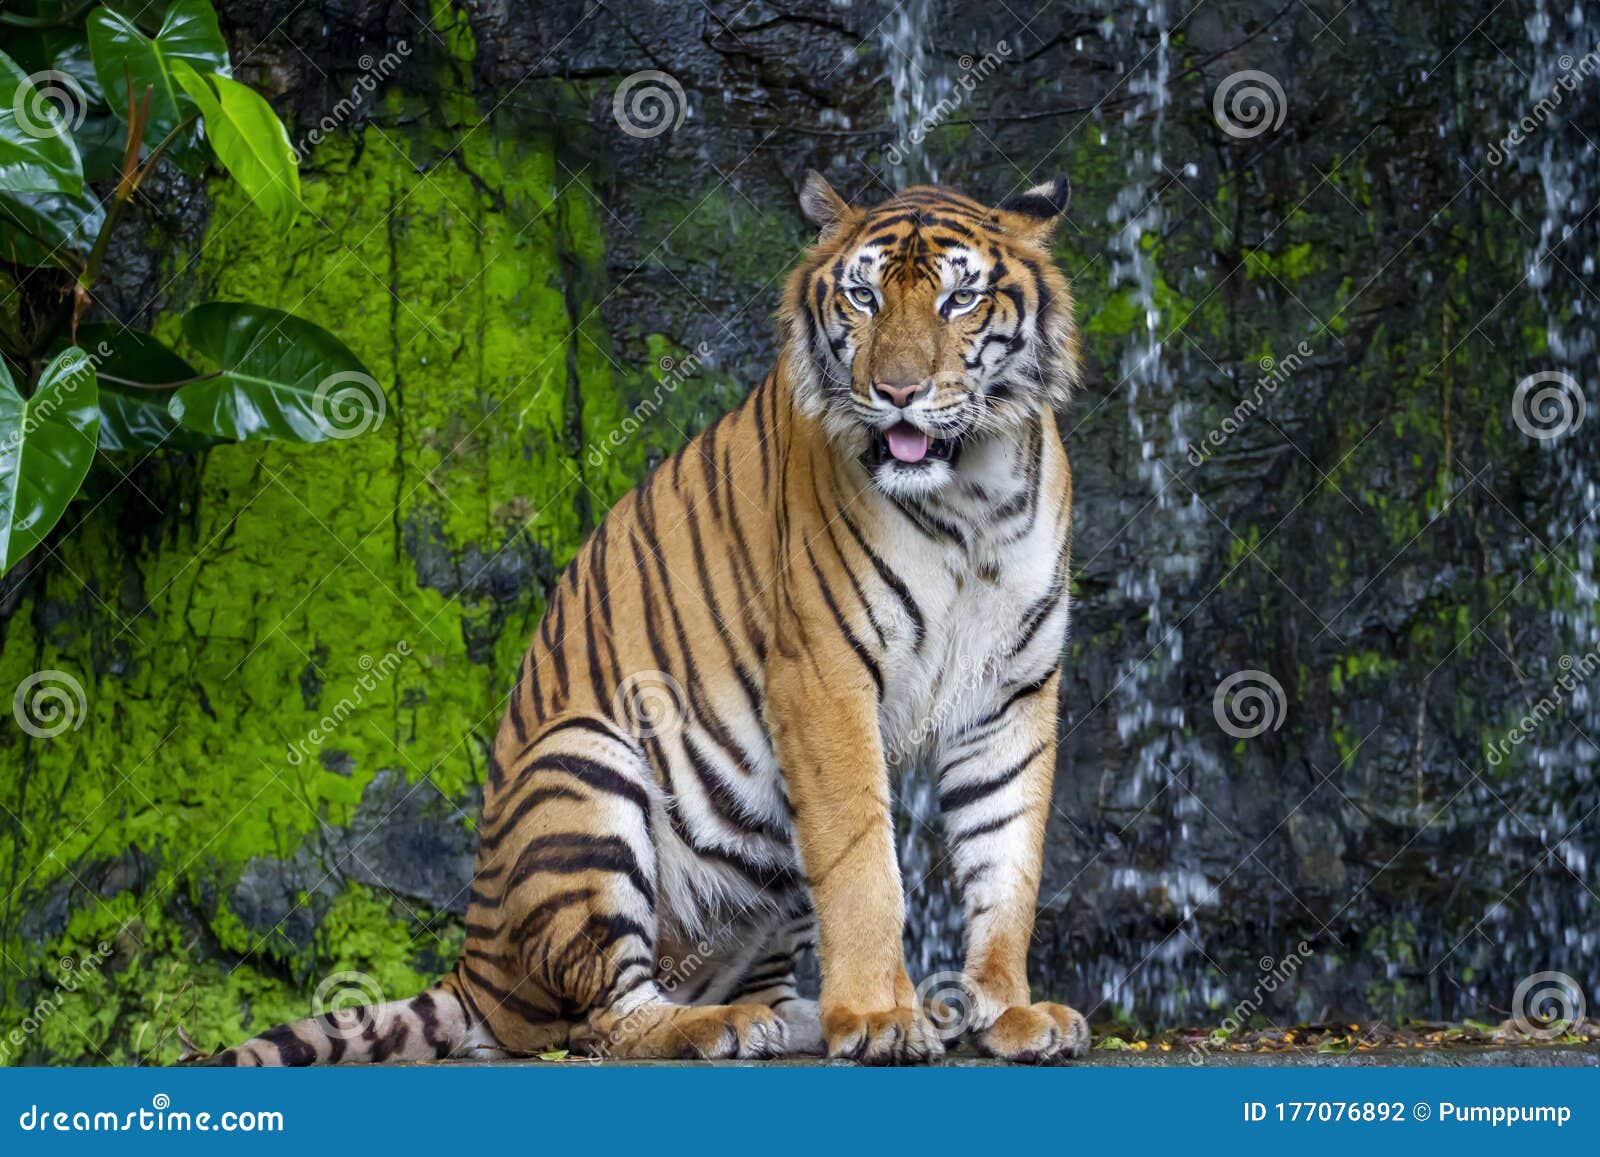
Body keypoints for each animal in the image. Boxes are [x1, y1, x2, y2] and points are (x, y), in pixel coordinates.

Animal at [210, 172, 1087, 1066]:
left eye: (960, 300)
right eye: (863, 297)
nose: (898, 393)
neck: (970, 496)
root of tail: (473, 962)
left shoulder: (1014, 690)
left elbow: (1008, 856)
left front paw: (1008, 1012)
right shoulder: (825, 676)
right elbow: (865, 863)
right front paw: (880, 1014)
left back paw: (794, 1016)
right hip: (585, 763)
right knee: (602, 1021)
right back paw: (719, 1025)